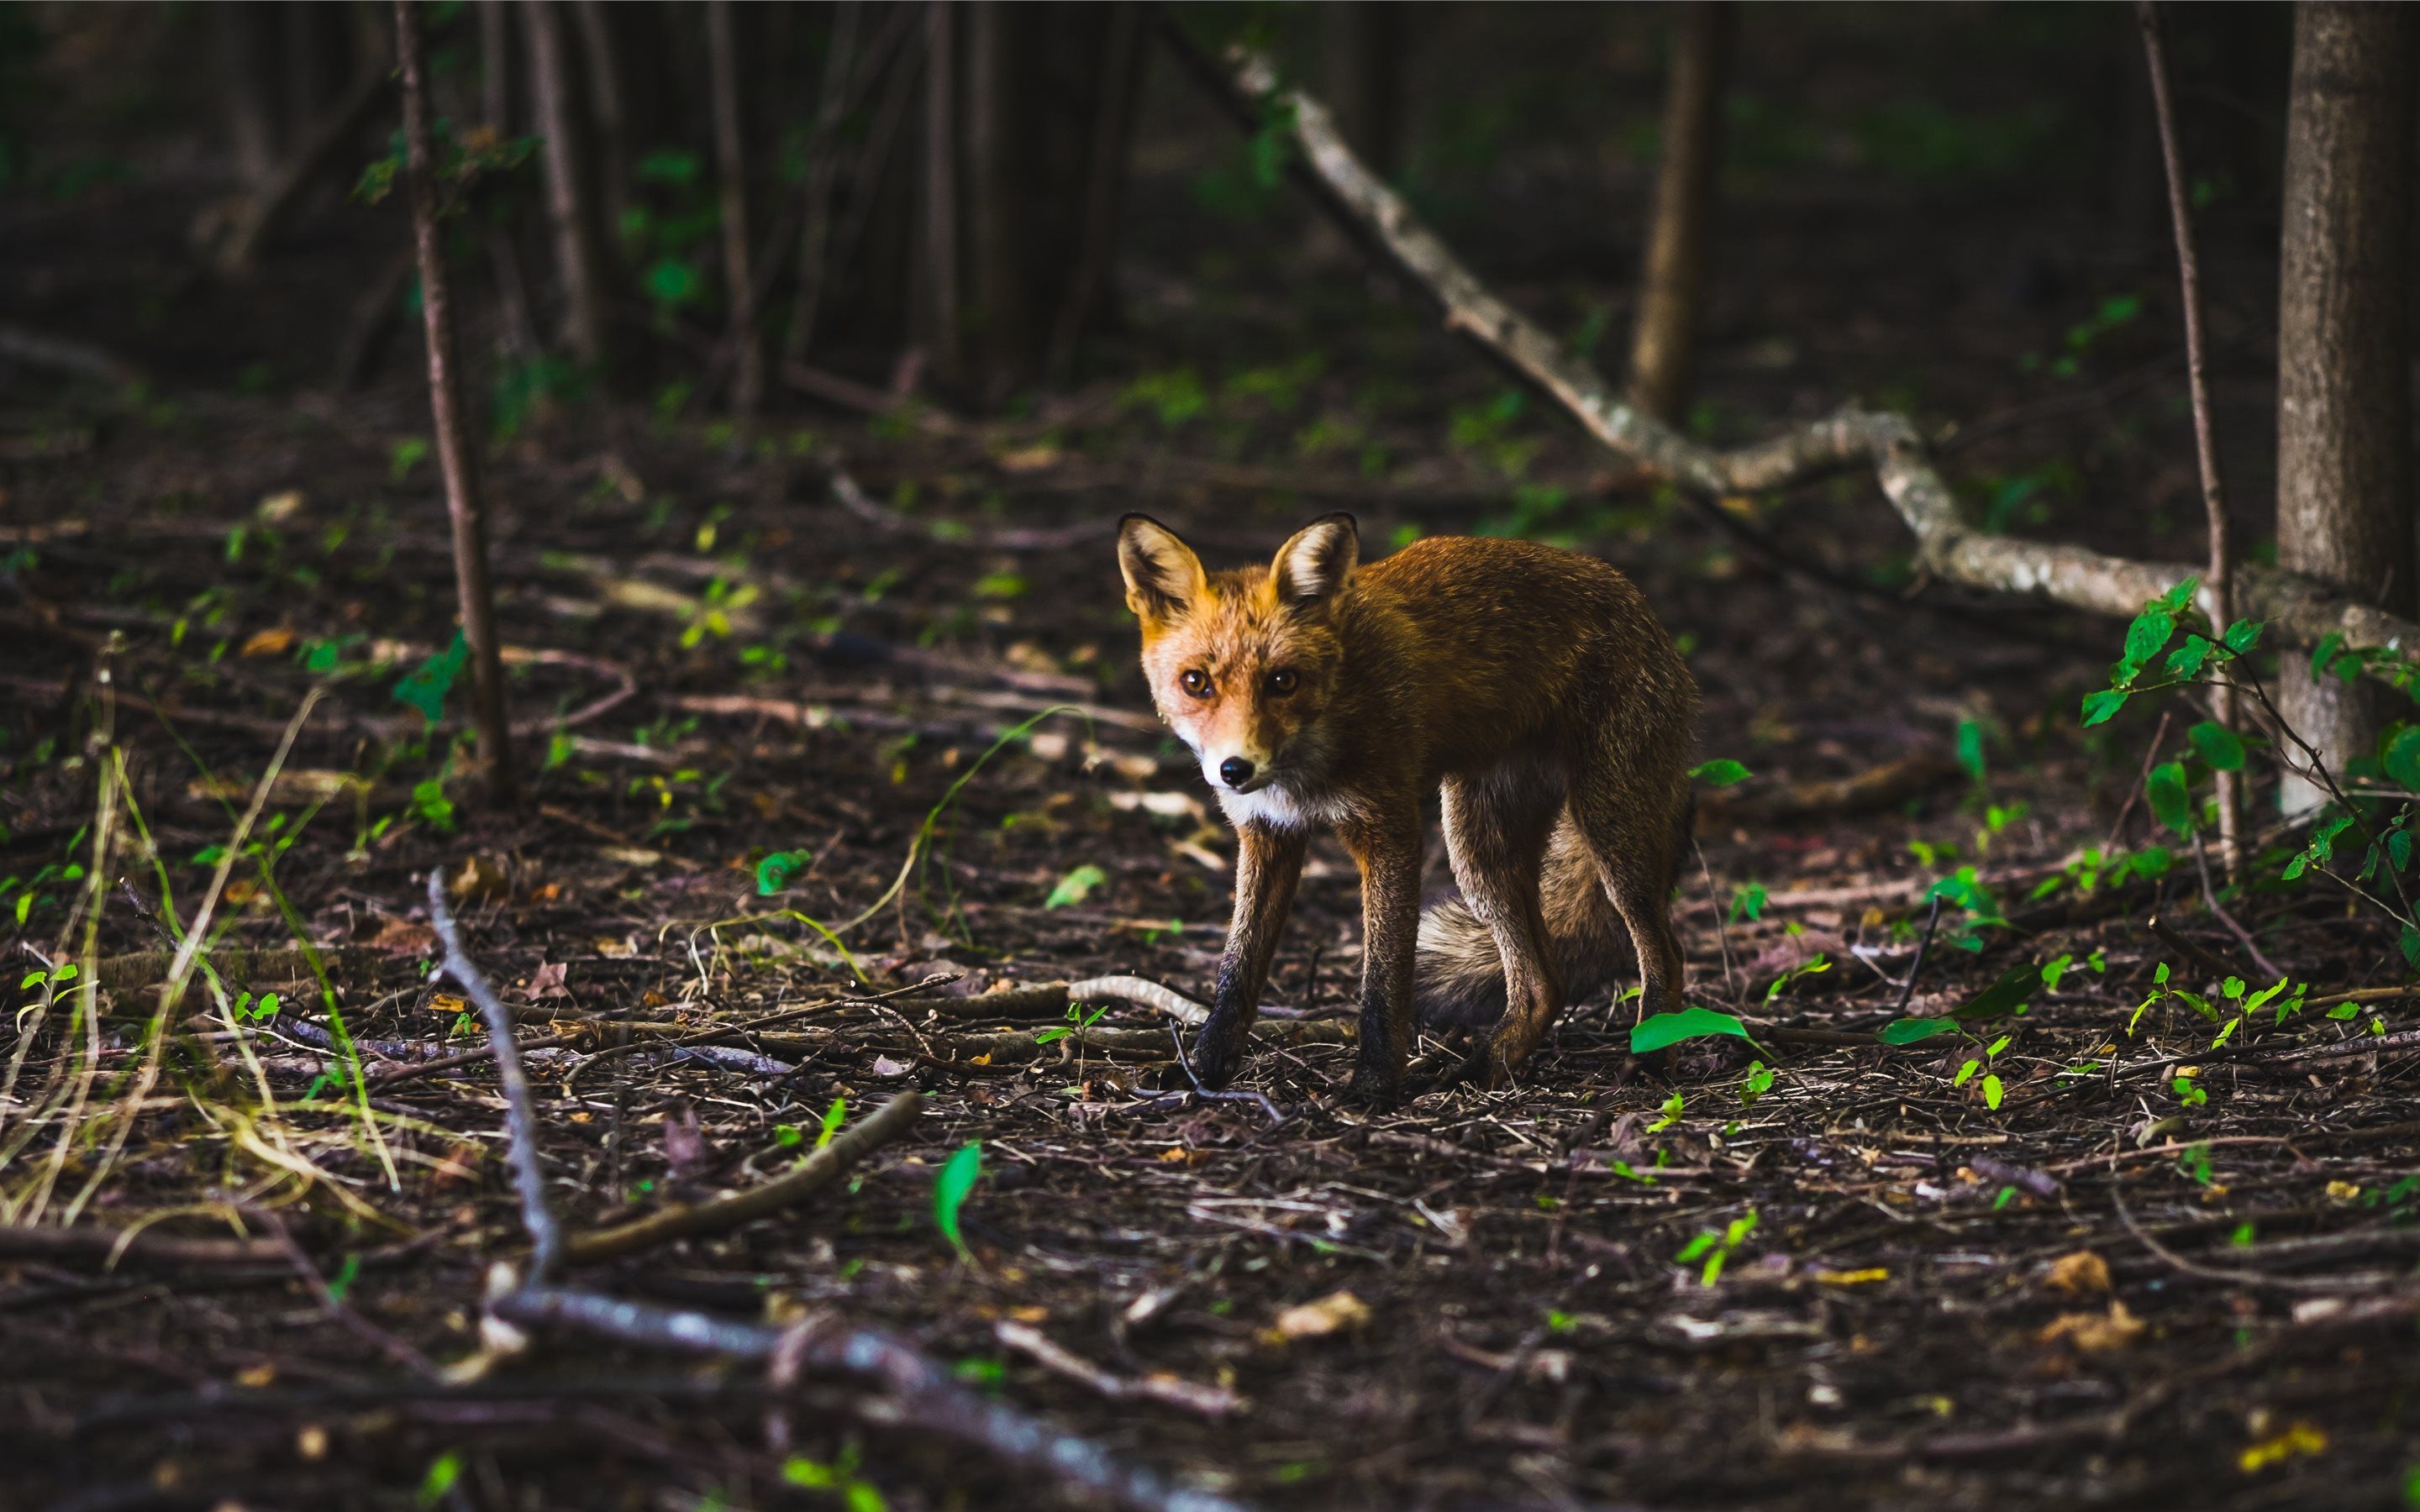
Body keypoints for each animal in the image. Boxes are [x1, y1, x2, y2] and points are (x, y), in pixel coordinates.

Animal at [1118, 511, 1698, 1105]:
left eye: (1283, 681)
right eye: (1196, 683)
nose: (1235, 770)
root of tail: (1634, 595)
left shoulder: (1388, 831)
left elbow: (1383, 983)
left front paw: (1372, 1087)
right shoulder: (1267, 836)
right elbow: (1236, 973)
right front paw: (1203, 1072)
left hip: (1608, 831)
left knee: (1667, 952)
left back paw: (1652, 1061)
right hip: (1481, 853)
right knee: (1544, 985)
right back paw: (1480, 1071)